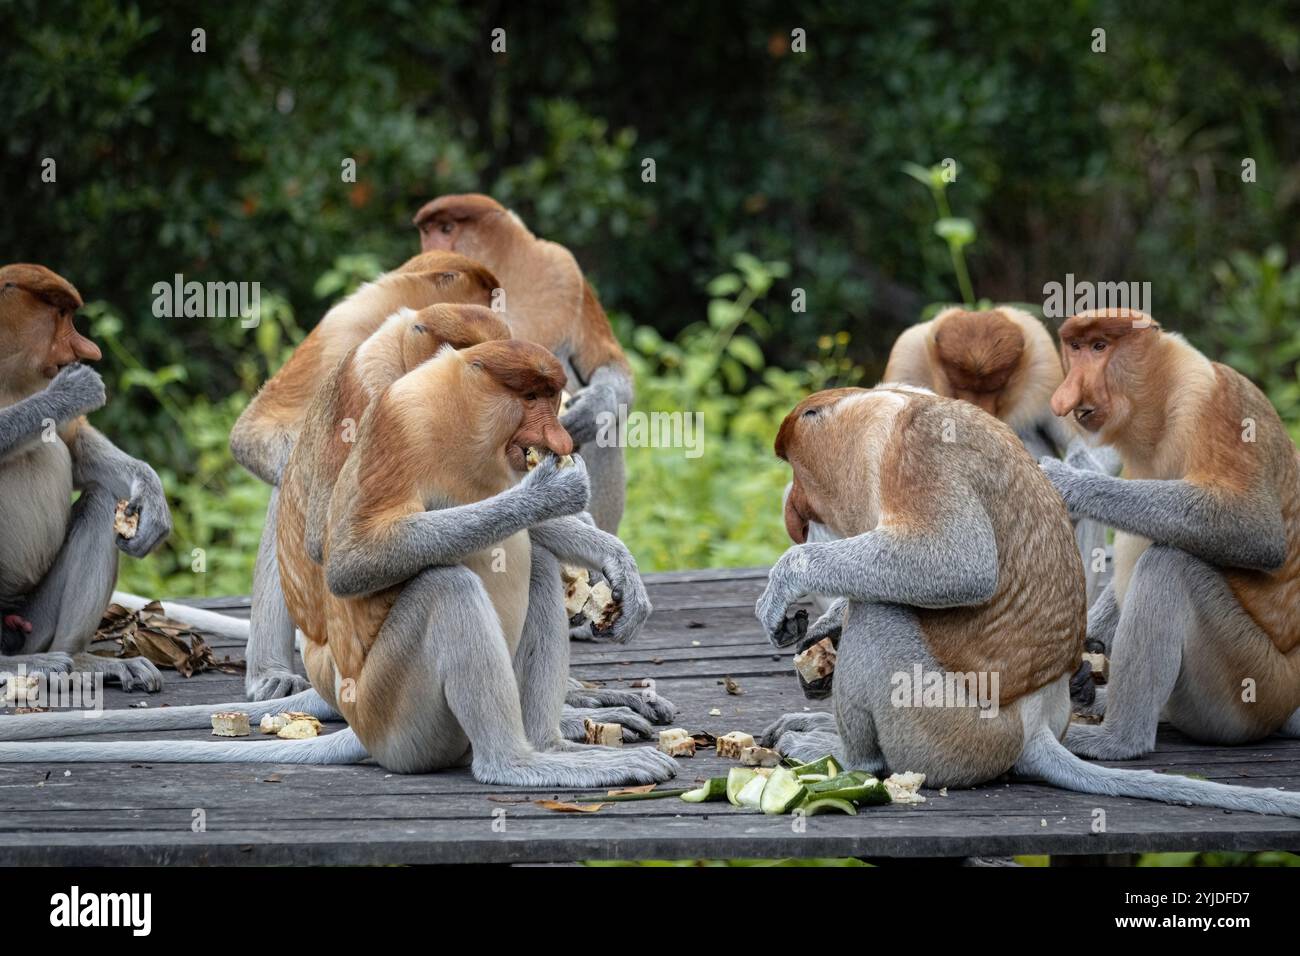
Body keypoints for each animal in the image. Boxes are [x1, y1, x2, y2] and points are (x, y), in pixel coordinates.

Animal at [0, 264, 171, 692]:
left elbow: (76, 449)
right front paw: (75, 389)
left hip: (33, 621)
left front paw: (153, 500)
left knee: (98, 503)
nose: (88, 351)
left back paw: (79, 661)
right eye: (60, 315)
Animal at [0, 337, 679, 788]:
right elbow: (351, 559)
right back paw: (521, 763)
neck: (461, 419)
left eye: (552, 398)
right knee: (448, 589)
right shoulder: (395, 425)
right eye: (534, 398)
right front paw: (552, 492)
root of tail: (358, 725)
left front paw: (611, 558)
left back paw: (558, 739)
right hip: (397, 712)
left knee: (531, 568)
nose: (559, 439)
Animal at [413, 194, 631, 535]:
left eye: (446, 229)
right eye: (427, 231)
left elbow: (608, 362)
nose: (431, 253)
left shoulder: (563, 269)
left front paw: (591, 408)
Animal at [756, 383, 1300, 815]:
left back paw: (846, 756)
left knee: (881, 614)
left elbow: (960, 563)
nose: (791, 510)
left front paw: (787, 581)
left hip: (953, 731)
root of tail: (1037, 728)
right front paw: (821, 626)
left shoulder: (918, 453)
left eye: (796, 467)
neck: (880, 417)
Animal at [1040, 308, 1300, 760]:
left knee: (1171, 564)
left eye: (1100, 346)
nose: (1065, 397)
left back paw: (1116, 739)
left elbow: (1258, 530)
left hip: (1252, 684)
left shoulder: (1214, 405)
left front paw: (1067, 481)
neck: (1159, 403)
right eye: (1075, 347)